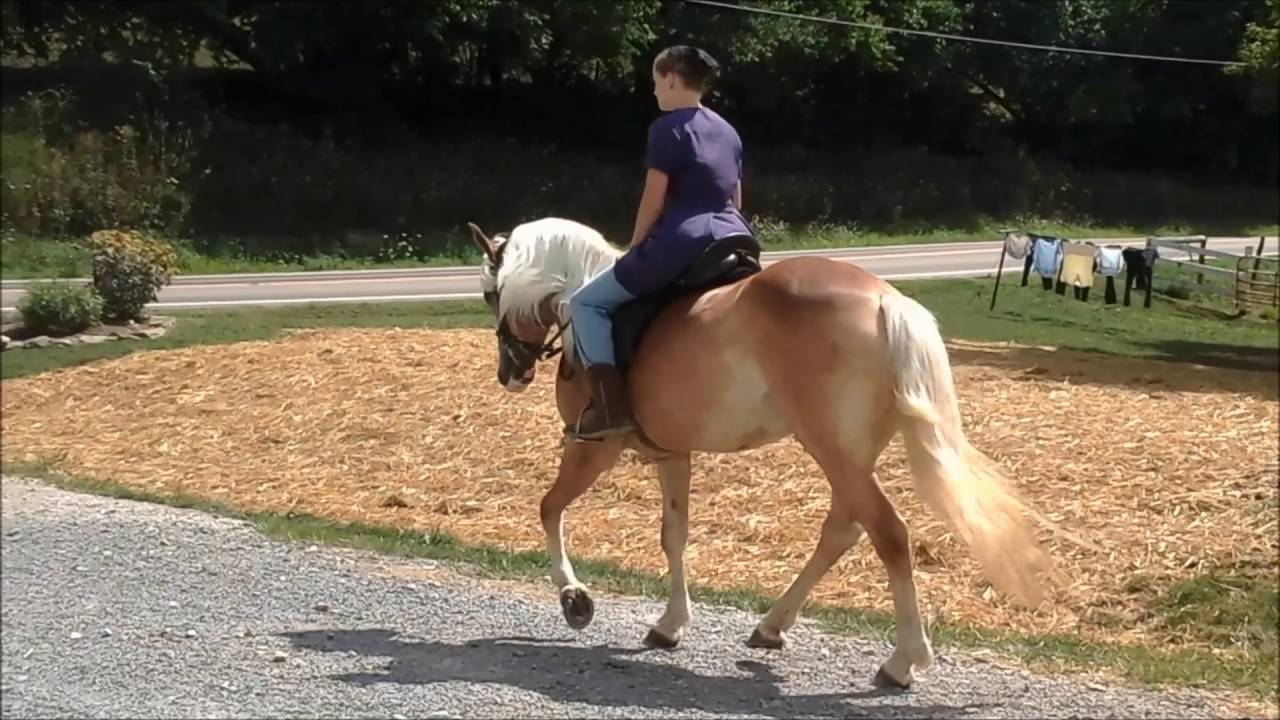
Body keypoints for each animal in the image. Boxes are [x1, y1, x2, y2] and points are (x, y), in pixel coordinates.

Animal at [466, 216, 1054, 689]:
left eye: (491, 293)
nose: (509, 373)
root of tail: (887, 299)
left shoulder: (593, 448)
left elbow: (549, 508)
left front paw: (574, 598)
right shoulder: (672, 454)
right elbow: (674, 535)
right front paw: (669, 625)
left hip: (831, 450)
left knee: (887, 534)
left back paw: (901, 661)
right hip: (849, 455)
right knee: (843, 529)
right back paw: (773, 625)